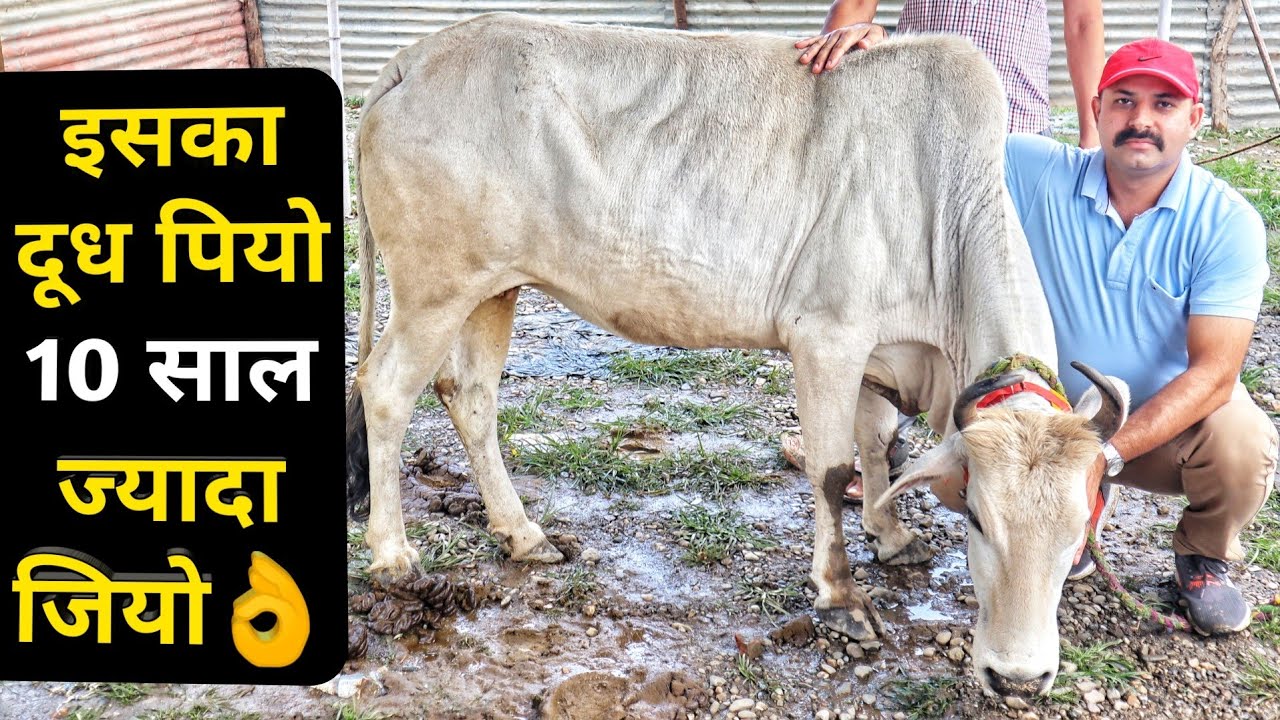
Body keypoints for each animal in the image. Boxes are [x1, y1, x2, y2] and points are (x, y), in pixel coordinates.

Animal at [344, 13, 1128, 696]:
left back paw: (523, 534)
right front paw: (841, 597)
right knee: (384, 388)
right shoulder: (827, 336)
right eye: (978, 520)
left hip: (493, 289)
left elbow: (878, 448)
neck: (942, 200)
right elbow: (831, 468)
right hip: (435, 289)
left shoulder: (875, 352)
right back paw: (393, 556)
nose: (1019, 679)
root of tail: (415, 57)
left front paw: (890, 534)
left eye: (1077, 538)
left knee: (470, 396)